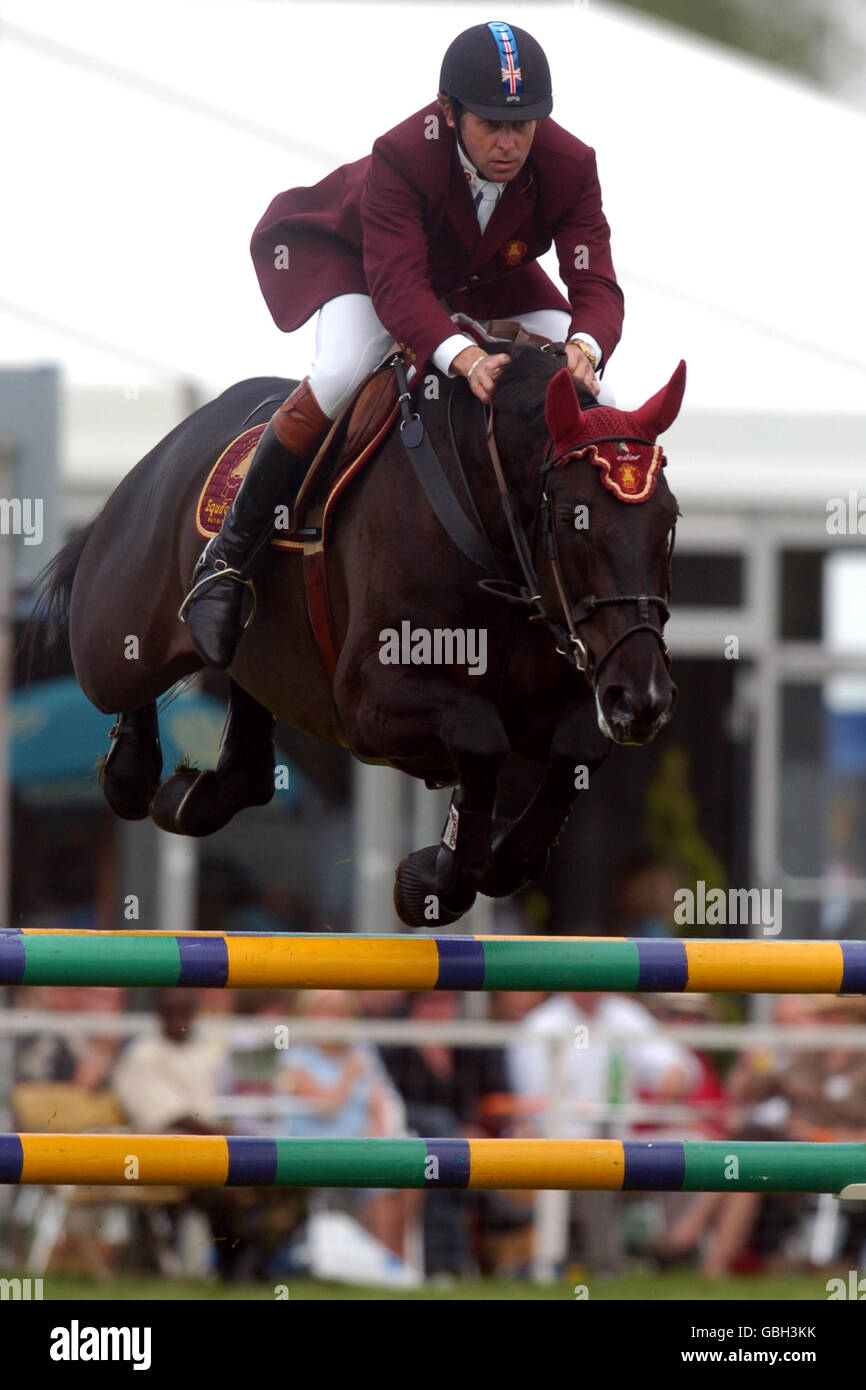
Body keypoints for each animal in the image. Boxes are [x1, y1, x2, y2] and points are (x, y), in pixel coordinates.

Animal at [31, 342, 684, 927]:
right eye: (575, 520)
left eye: (670, 519)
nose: (643, 699)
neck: (488, 523)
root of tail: (174, 440)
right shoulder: (372, 703)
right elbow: (478, 734)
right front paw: (438, 879)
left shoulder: (552, 701)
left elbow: (578, 748)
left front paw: (495, 858)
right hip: (116, 628)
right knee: (118, 680)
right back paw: (133, 767)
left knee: (249, 722)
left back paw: (198, 794)